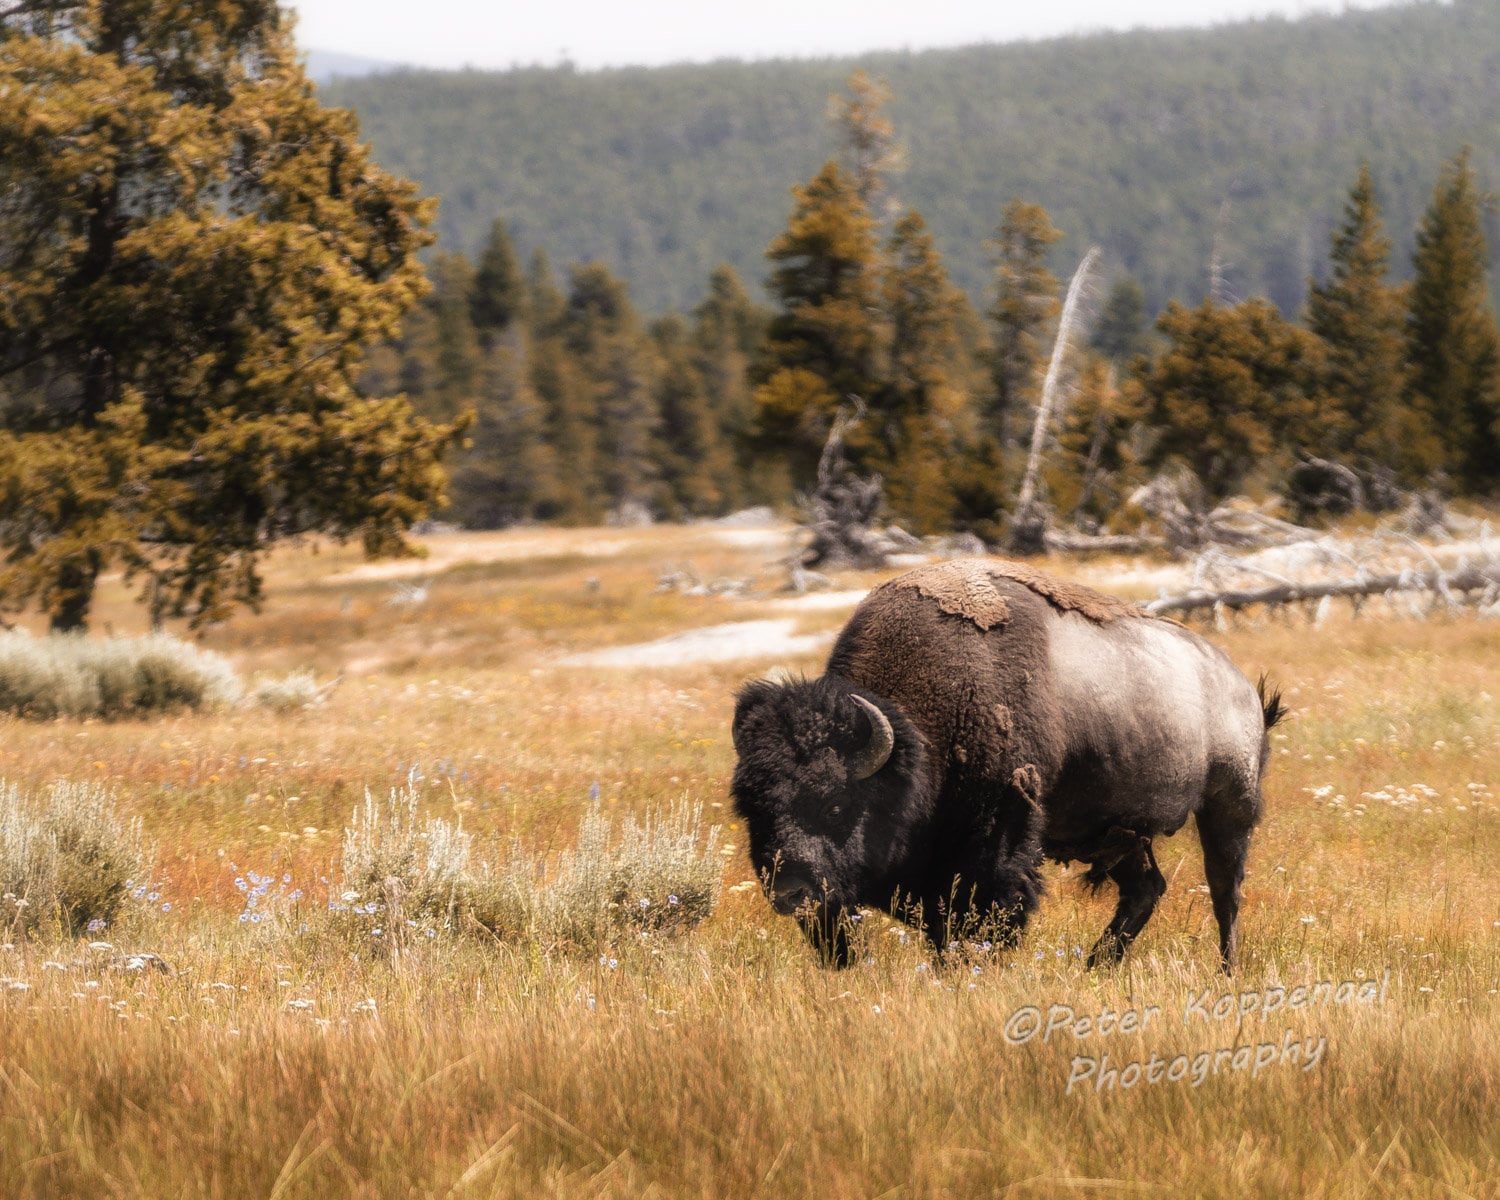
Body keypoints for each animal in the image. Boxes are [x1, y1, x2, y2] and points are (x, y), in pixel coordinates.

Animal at [730, 558, 1283, 971]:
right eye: (751, 809)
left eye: (837, 806)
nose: (790, 892)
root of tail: (1240, 687)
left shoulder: (999, 831)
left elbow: (984, 911)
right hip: (1124, 833)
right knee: (1146, 889)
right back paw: (1094, 968)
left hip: (1229, 807)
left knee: (1225, 891)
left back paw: (1226, 970)